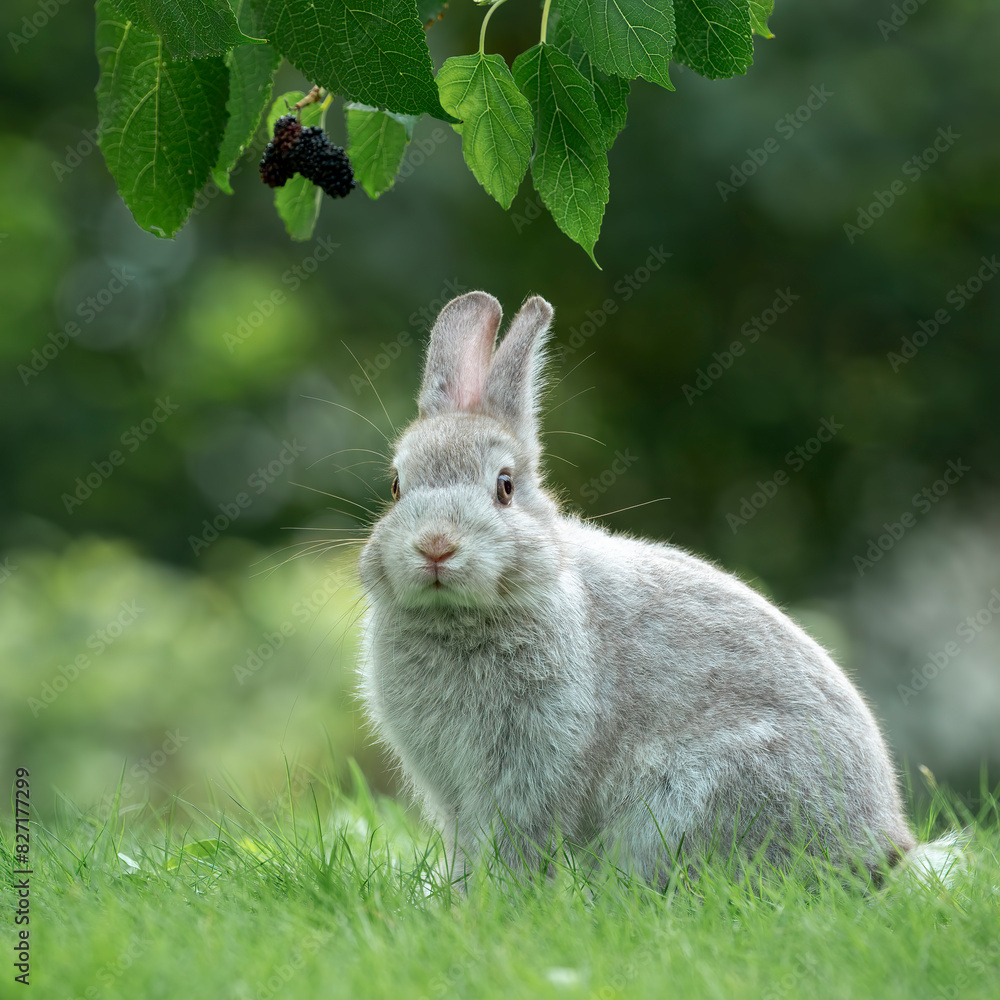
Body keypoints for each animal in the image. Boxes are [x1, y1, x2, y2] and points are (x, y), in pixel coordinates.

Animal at [357, 290, 920, 887]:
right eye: (396, 487)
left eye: (505, 488)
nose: (435, 546)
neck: (460, 616)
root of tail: (883, 853)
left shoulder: (534, 764)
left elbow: (517, 840)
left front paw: (493, 896)